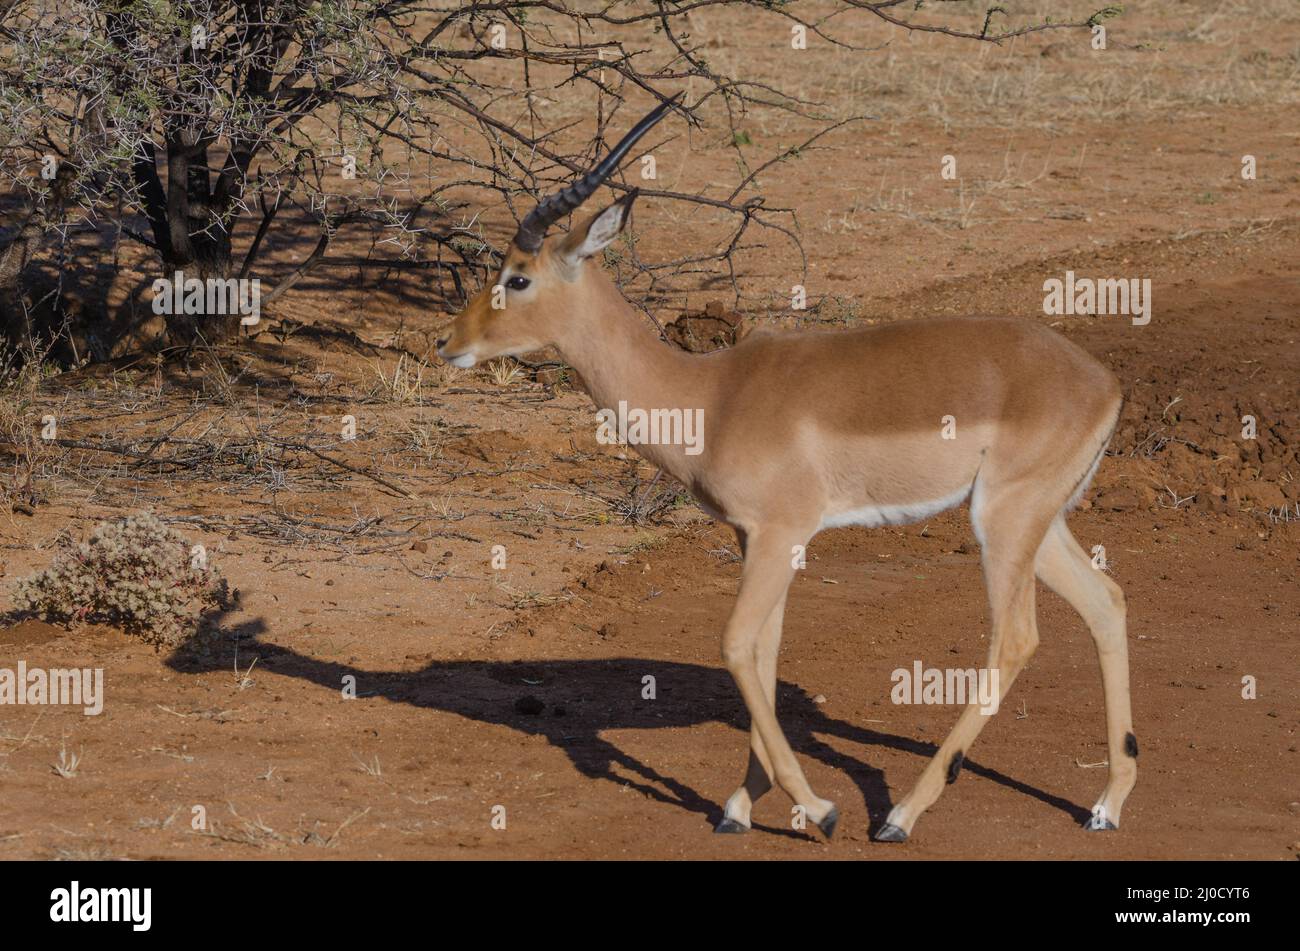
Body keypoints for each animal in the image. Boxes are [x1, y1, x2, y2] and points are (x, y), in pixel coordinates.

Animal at [436, 98, 1137, 842]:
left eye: (517, 276)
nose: (447, 342)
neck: (709, 396)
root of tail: (1105, 381)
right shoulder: (755, 538)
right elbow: (764, 657)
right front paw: (743, 806)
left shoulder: (782, 533)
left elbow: (737, 644)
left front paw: (819, 808)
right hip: (1040, 521)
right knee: (1106, 600)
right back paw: (1105, 804)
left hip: (1002, 519)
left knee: (1017, 638)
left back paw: (899, 816)